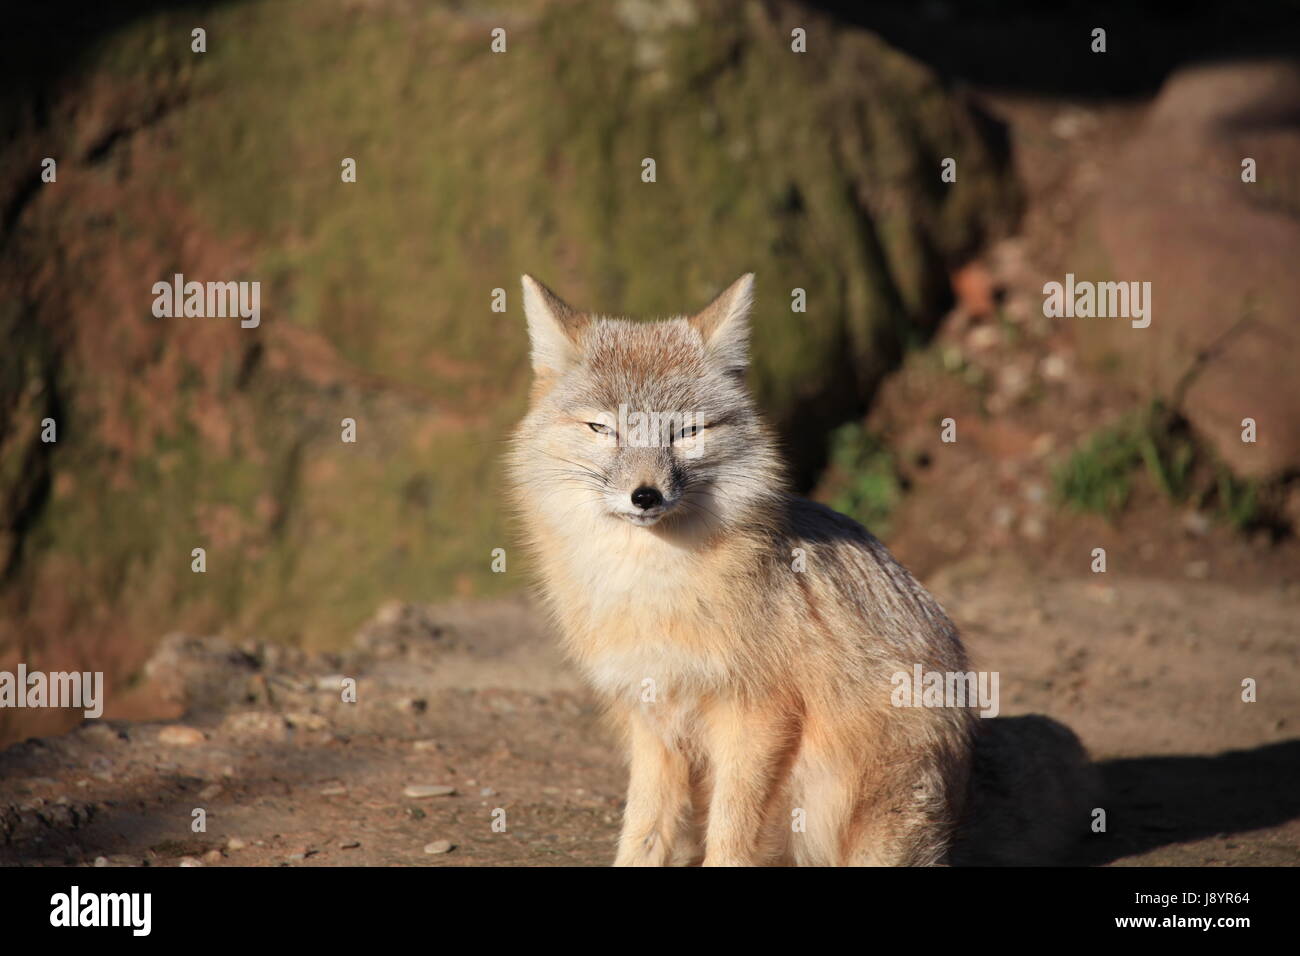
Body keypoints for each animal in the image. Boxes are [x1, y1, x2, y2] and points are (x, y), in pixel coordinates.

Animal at [508, 272, 1096, 866]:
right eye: (602, 428)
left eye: (687, 432)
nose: (645, 495)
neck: (651, 587)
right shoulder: (652, 722)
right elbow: (645, 831)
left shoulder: (757, 715)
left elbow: (731, 832)